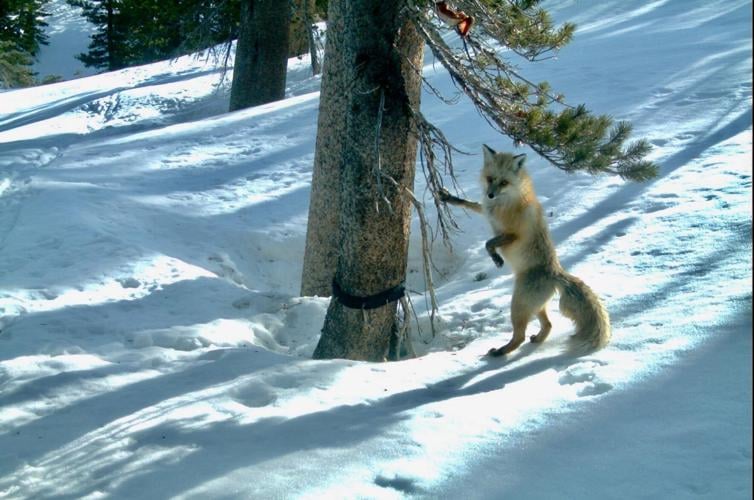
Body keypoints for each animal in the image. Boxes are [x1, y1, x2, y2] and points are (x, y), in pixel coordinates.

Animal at [439, 145, 611, 356]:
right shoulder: (487, 211)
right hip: (534, 307)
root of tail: (555, 272)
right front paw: (450, 198)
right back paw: (537, 339)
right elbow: (471, 204)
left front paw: (496, 259)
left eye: (504, 182)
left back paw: (501, 352)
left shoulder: (513, 235)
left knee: (519, 337)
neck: (502, 204)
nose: (490, 195)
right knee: (549, 325)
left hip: (518, 306)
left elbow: (488, 243)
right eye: (490, 179)